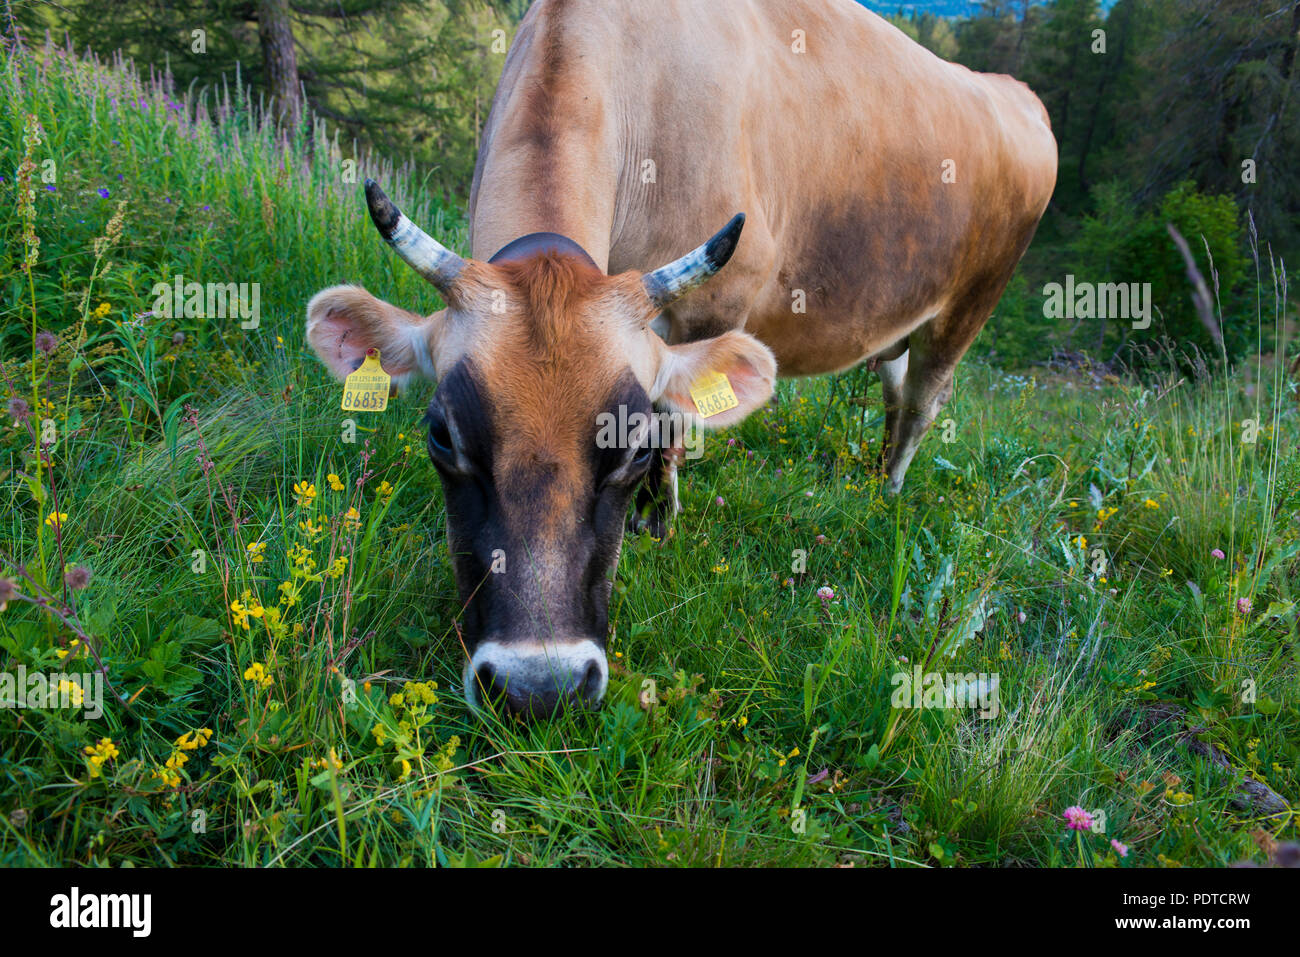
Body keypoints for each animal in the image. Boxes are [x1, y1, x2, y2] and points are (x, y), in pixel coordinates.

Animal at [305, 0, 1057, 717]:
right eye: (440, 435)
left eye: (630, 446)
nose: (539, 686)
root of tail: (1016, 93)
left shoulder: (716, 304)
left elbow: (676, 423)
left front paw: (658, 520)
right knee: (897, 393)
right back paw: (873, 477)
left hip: (969, 306)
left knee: (926, 401)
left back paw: (892, 489)